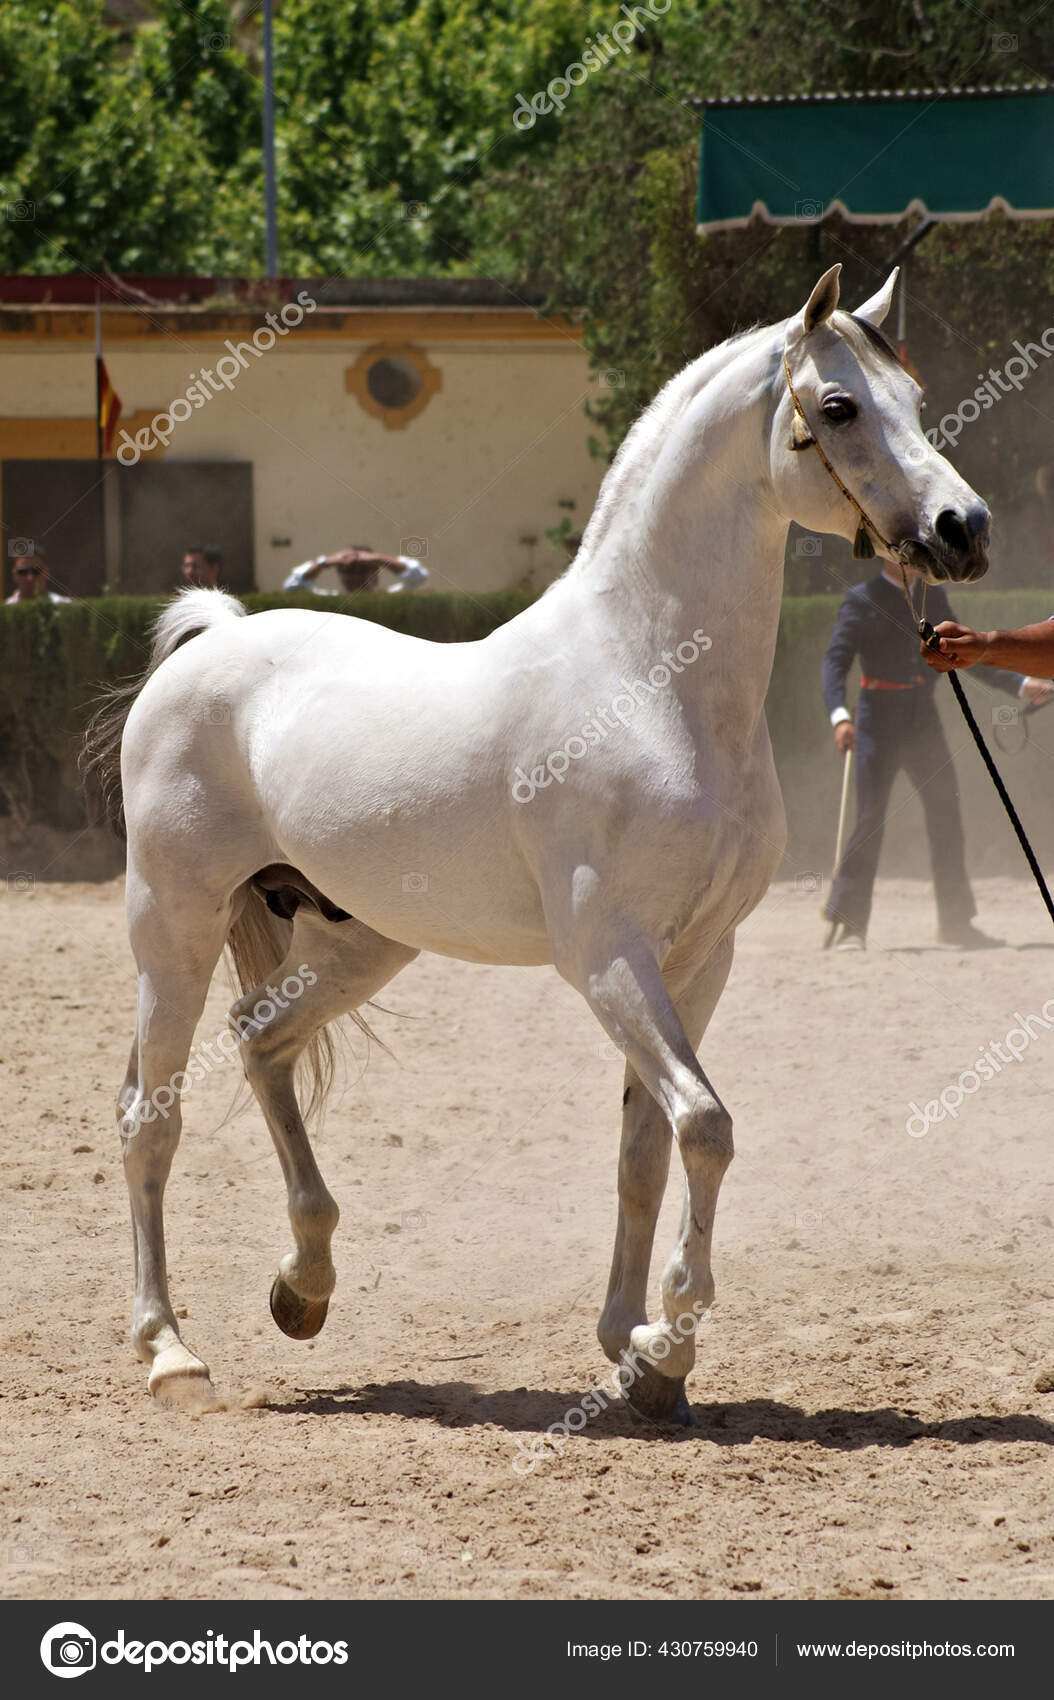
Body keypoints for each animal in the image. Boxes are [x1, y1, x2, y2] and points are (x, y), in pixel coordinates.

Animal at [83, 264, 990, 1420]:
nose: (963, 528)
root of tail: (216, 638)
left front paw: (637, 1354)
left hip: (358, 939)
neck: (650, 679)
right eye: (837, 408)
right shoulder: (607, 955)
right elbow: (705, 1124)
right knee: (148, 1114)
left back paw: (305, 1285)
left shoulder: (699, 959)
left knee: (260, 1039)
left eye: (916, 400)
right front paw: (669, 1335)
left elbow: (647, 1147)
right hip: (174, 927)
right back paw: (170, 1351)